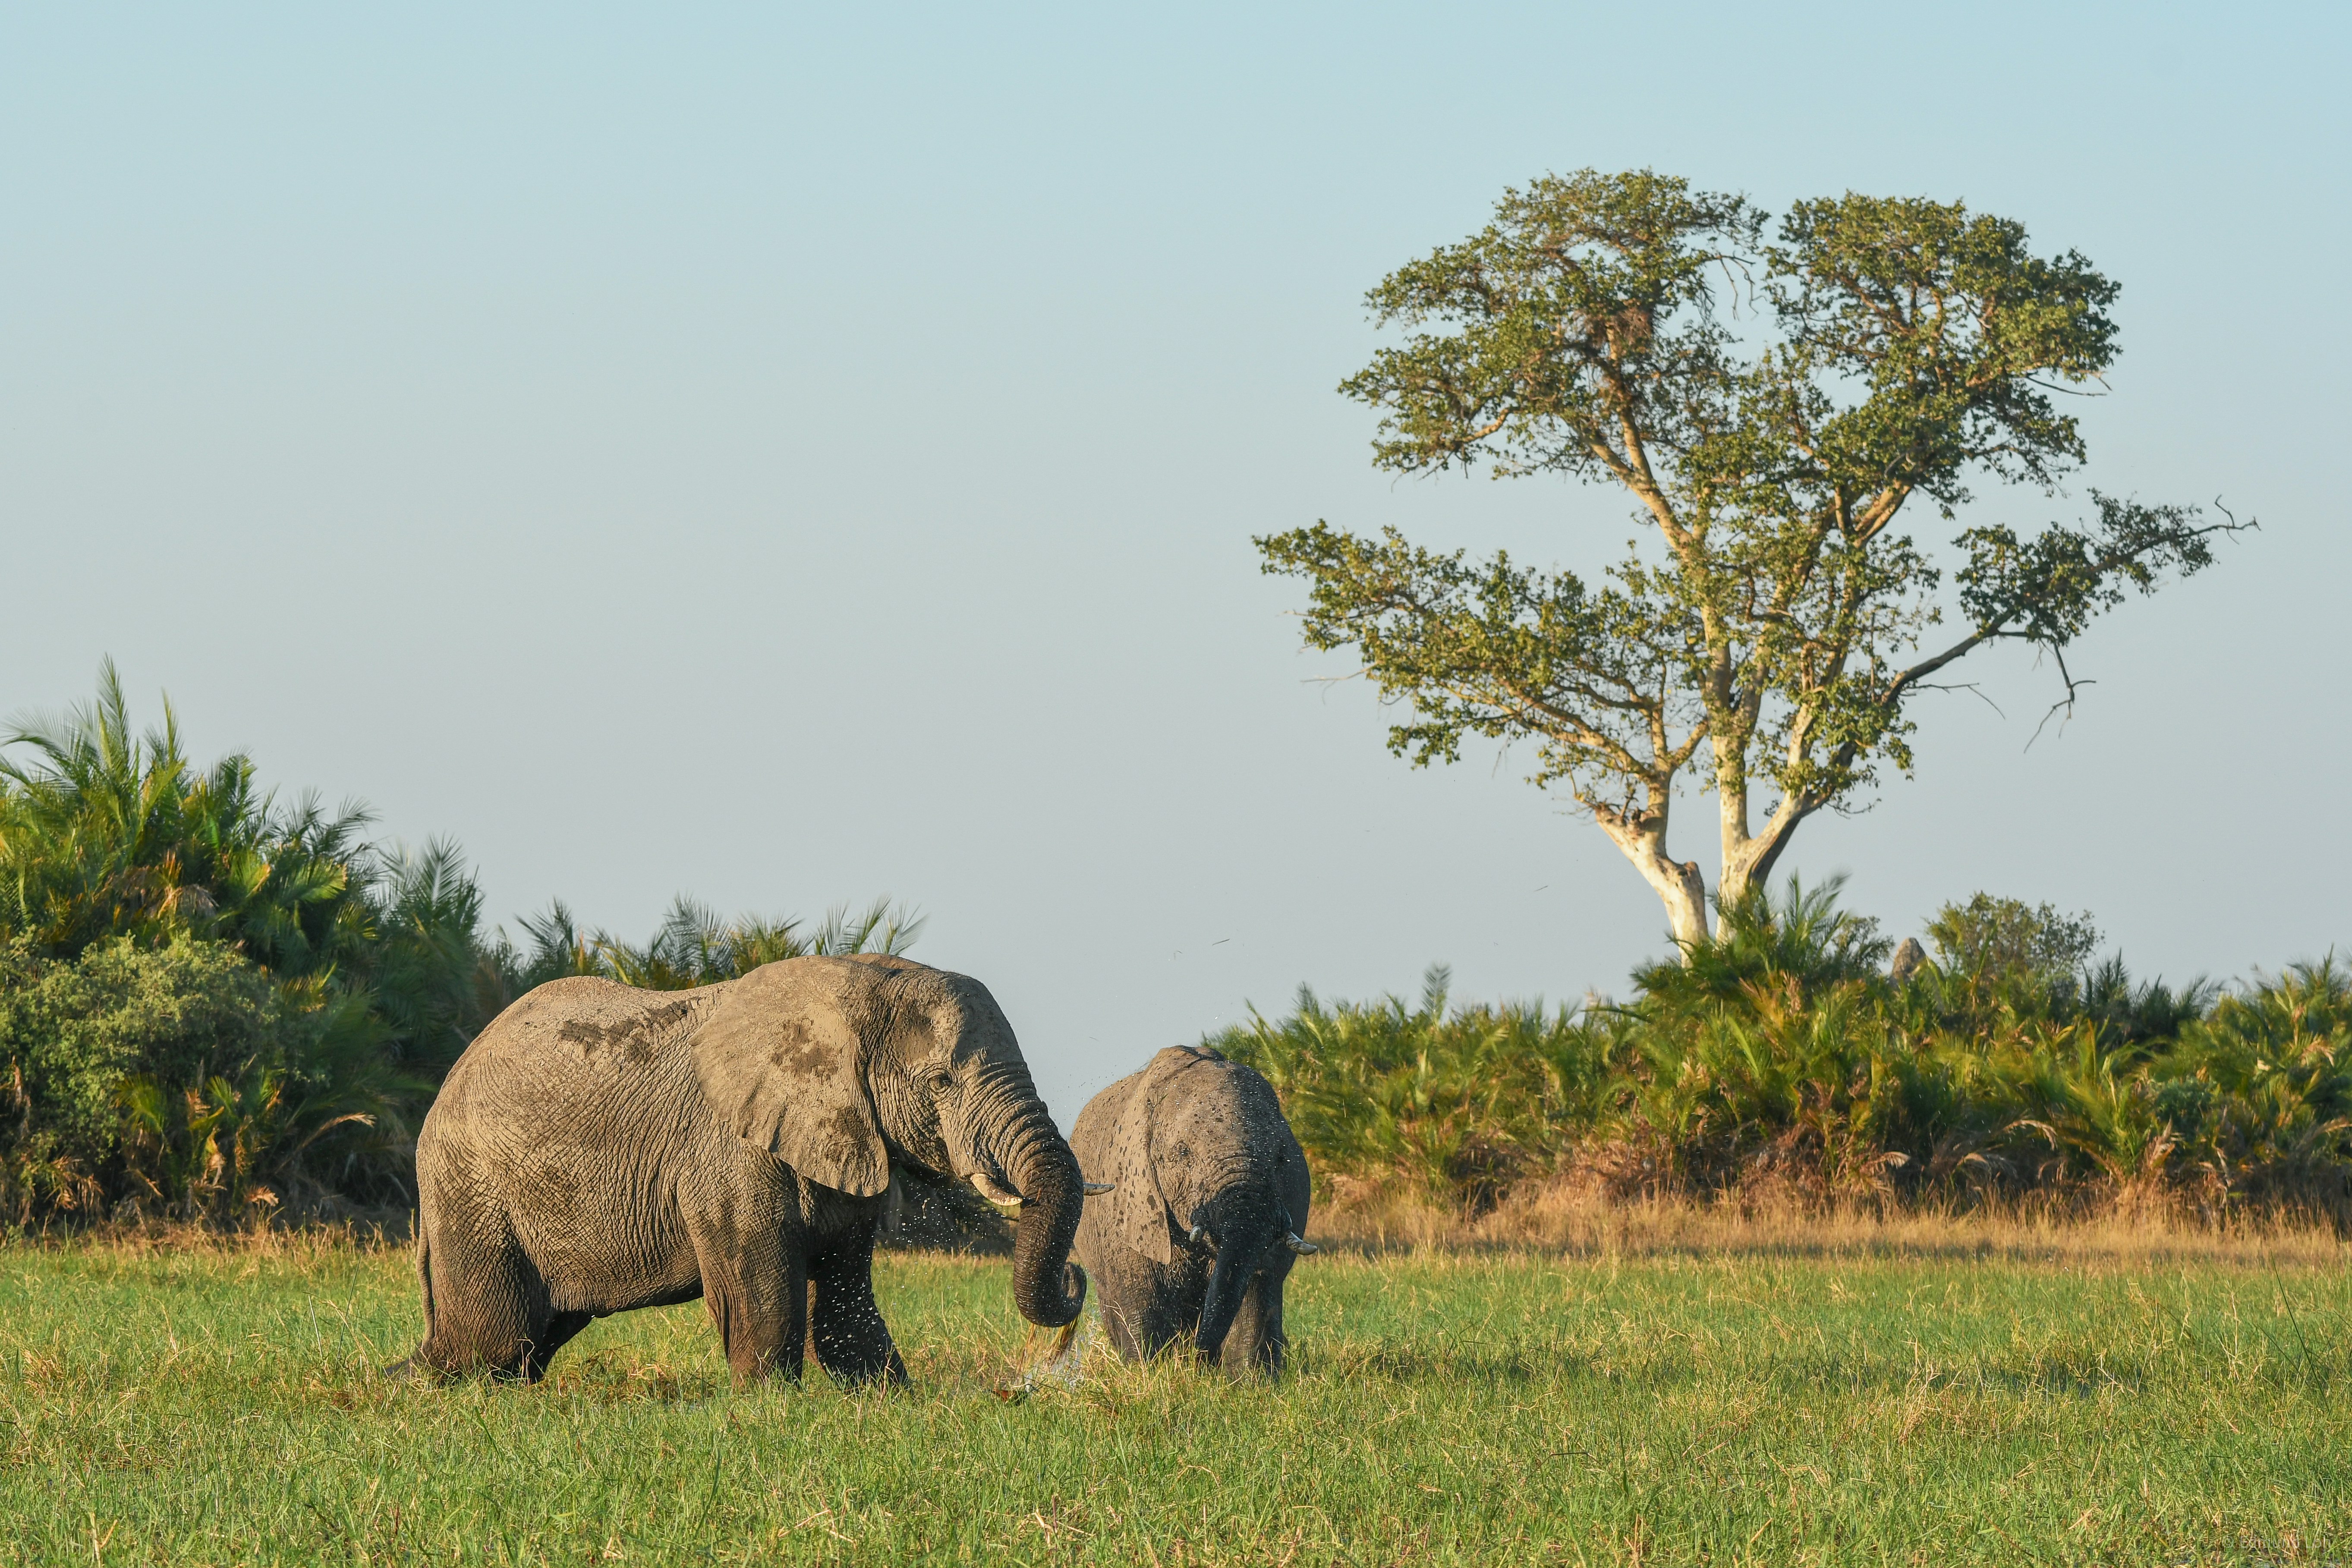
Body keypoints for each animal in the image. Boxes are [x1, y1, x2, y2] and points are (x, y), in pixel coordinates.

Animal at [406, 953, 1098, 1386]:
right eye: (941, 1082)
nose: (1075, 1276)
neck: (855, 984)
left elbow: (846, 1311)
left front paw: (891, 1403)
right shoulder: (726, 1153)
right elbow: (763, 1306)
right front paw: (769, 1408)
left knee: (529, 1337)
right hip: (470, 1184)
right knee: (490, 1344)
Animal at [1070, 1045, 1315, 1376]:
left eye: (1280, 1156)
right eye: (1183, 1153)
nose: (1197, 1353)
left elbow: (1254, 1290)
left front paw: (1252, 1383)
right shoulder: (1127, 1205)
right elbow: (1142, 1306)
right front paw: (1147, 1377)